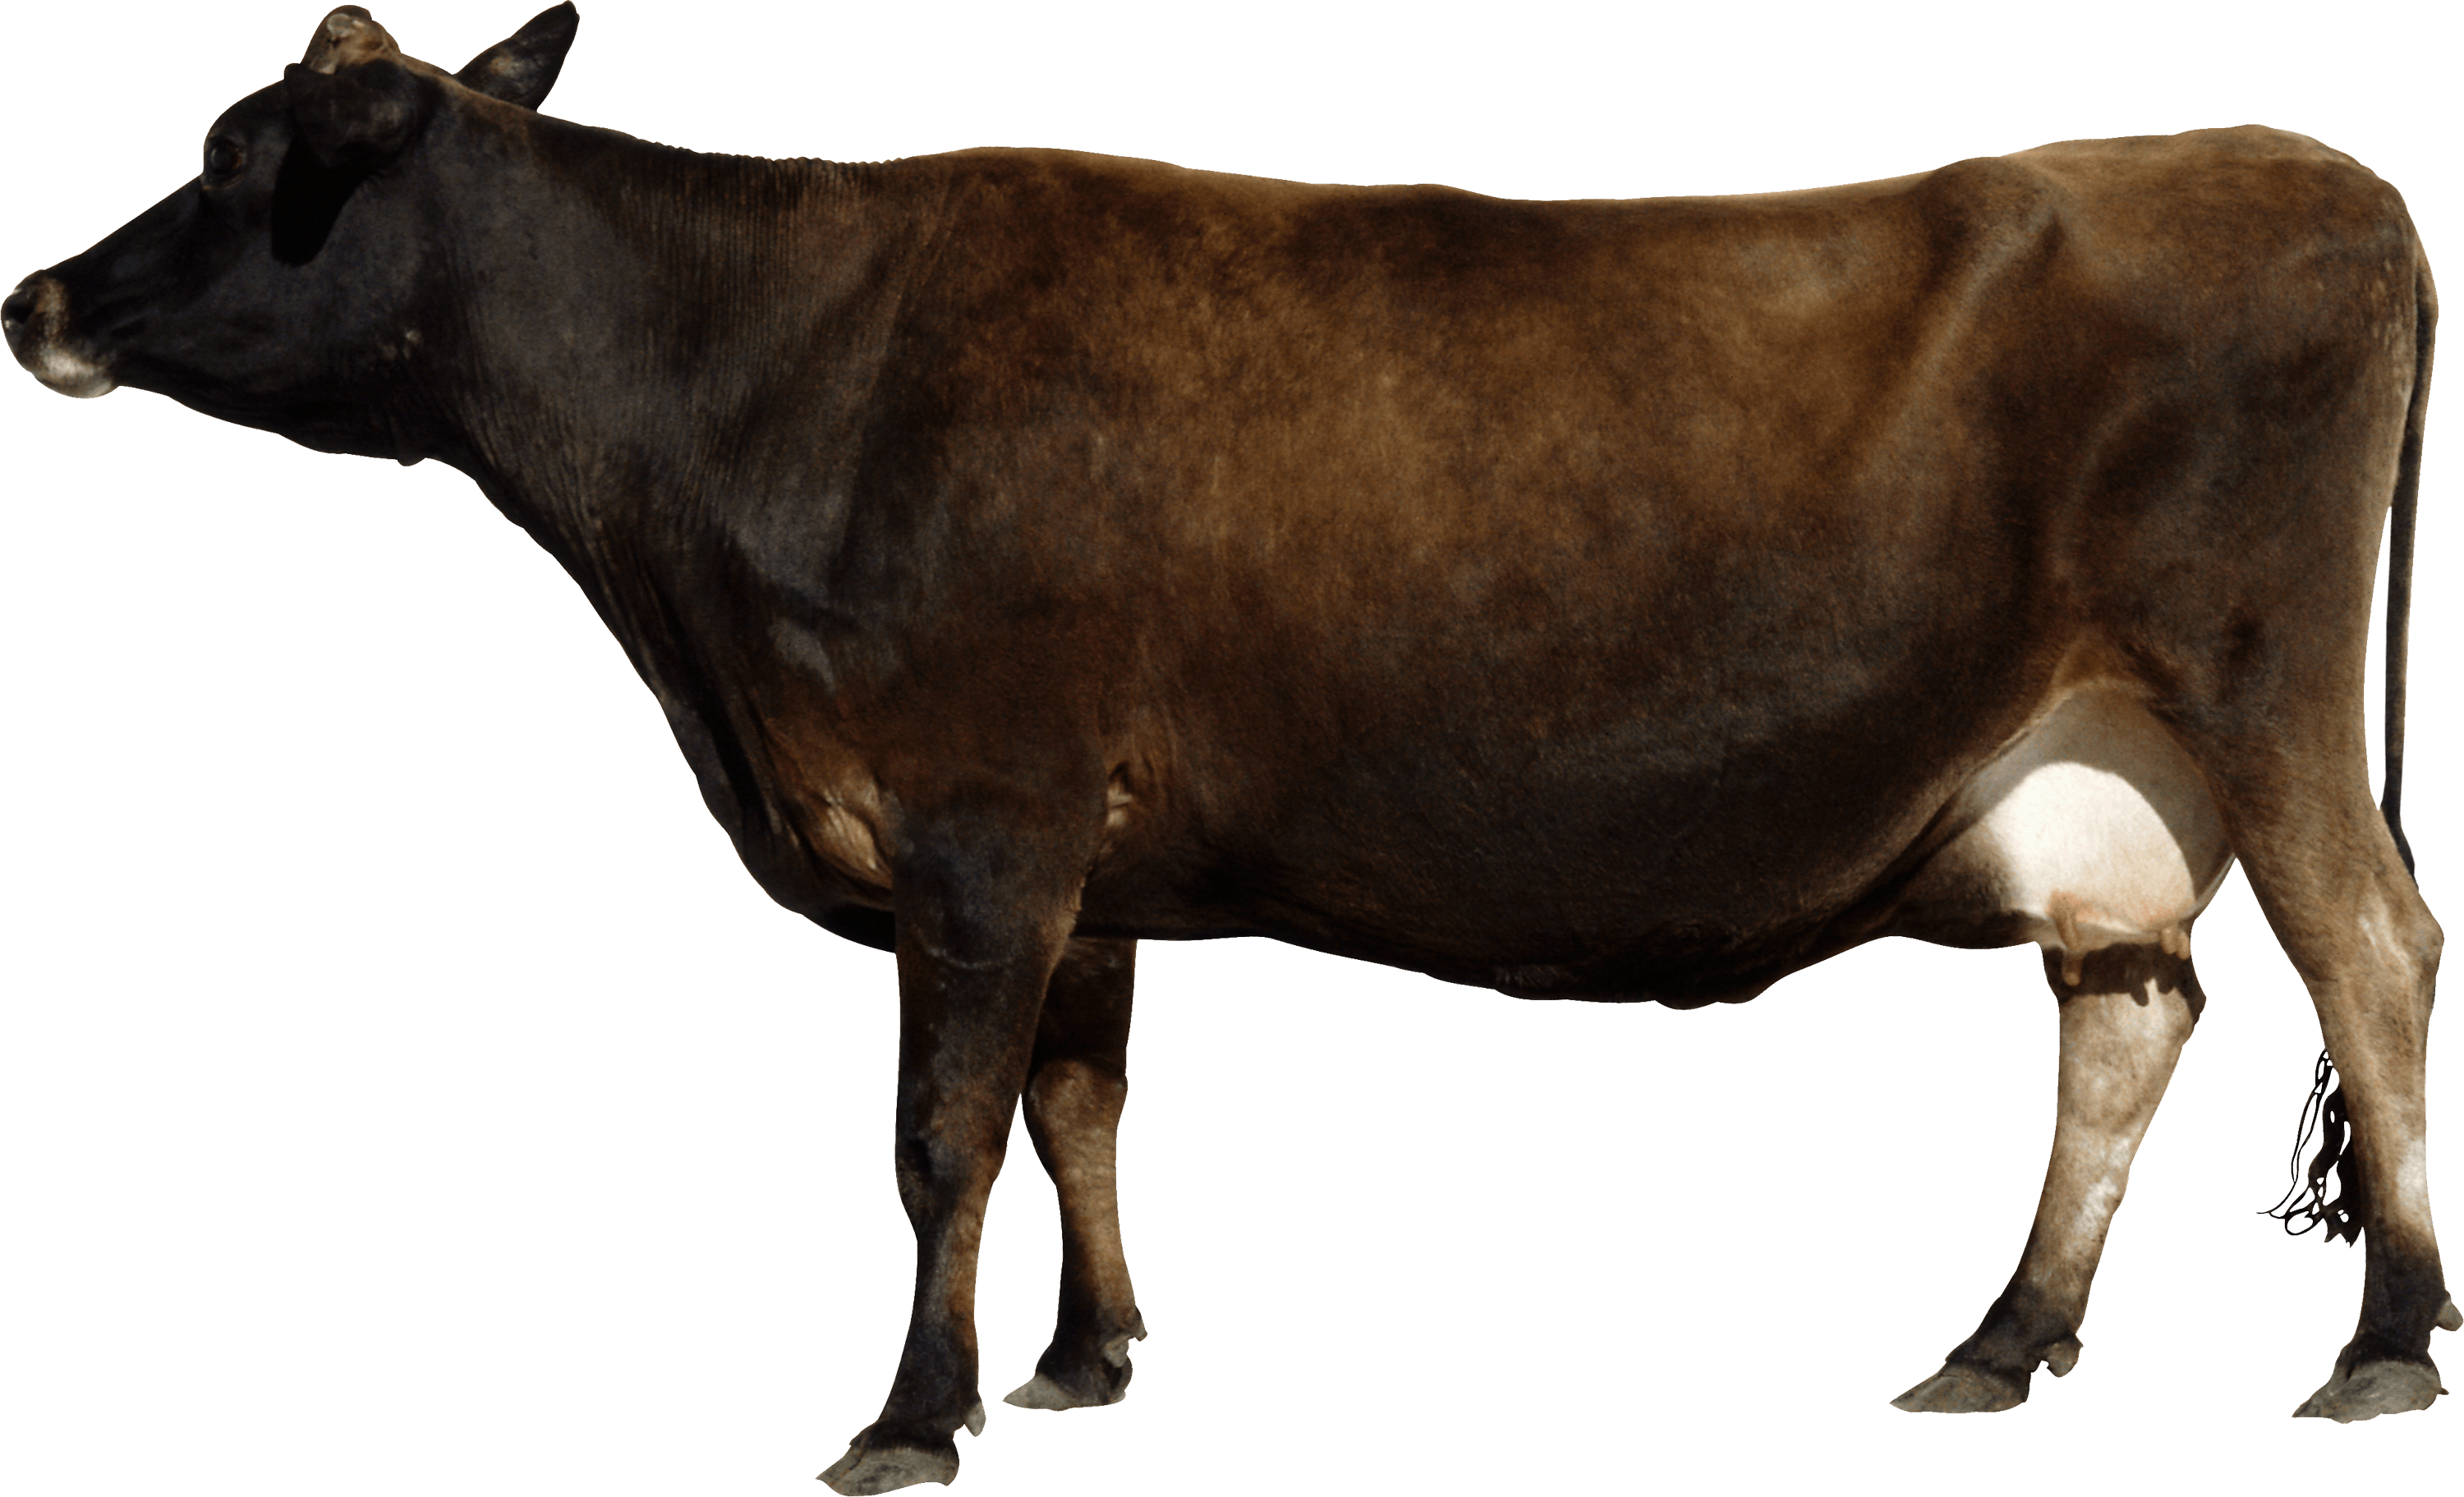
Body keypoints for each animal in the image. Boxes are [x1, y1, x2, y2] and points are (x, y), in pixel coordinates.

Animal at [5, 4, 2453, 1491]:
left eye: (230, 154)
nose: (32, 298)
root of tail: (2315, 167)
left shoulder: (976, 808)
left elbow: (939, 1133)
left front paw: (913, 1412)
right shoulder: (1076, 852)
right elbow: (1077, 1099)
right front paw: (1086, 1358)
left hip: (2265, 690)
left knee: (2370, 952)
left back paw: (2387, 1336)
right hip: (2103, 775)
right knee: (2129, 1008)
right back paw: (2004, 1338)